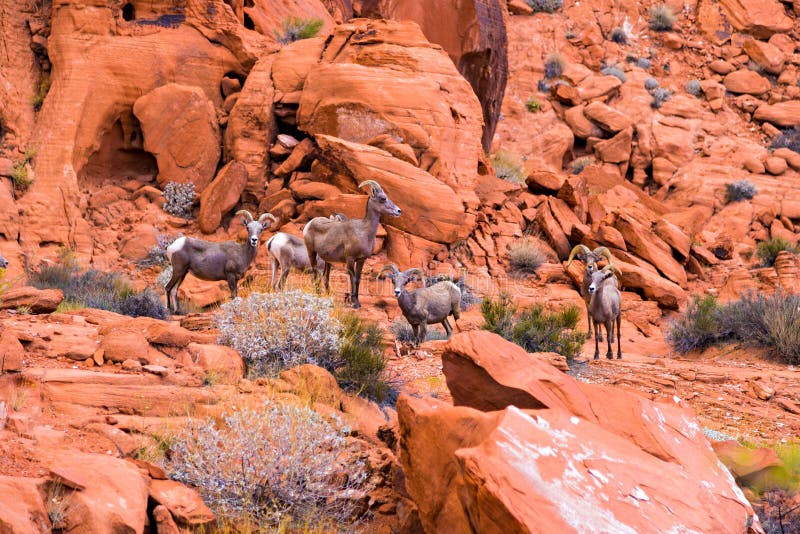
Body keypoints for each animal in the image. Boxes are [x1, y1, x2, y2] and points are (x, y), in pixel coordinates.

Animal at [303, 180, 401, 308]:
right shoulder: (350, 259)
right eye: (382, 198)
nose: (398, 211)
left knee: (325, 277)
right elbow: (353, 279)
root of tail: (309, 224)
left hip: (327, 261)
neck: (364, 233)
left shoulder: (361, 260)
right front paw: (354, 303)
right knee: (315, 272)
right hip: (311, 252)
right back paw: (318, 294)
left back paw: (328, 295)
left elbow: (358, 279)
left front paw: (358, 303)